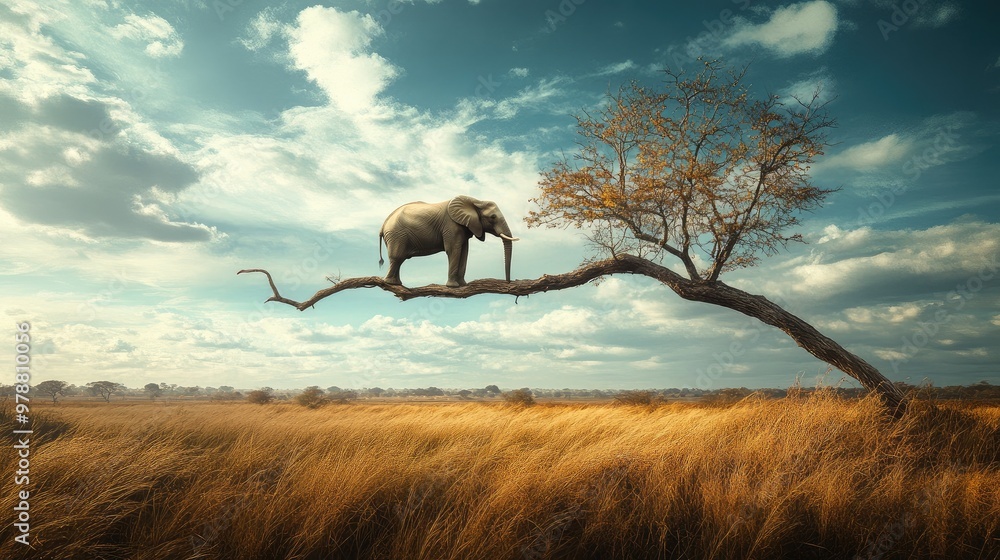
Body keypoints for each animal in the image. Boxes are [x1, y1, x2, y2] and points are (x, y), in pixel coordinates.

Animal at [379, 195, 519, 287]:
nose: (508, 282)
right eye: (493, 217)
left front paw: (463, 285)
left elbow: (464, 252)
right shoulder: (451, 226)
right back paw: (390, 283)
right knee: (397, 258)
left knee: (399, 260)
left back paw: (396, 284)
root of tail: (383, 224)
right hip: (397, 235)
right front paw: (453, 286)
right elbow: (453, 250)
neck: (476, 201)